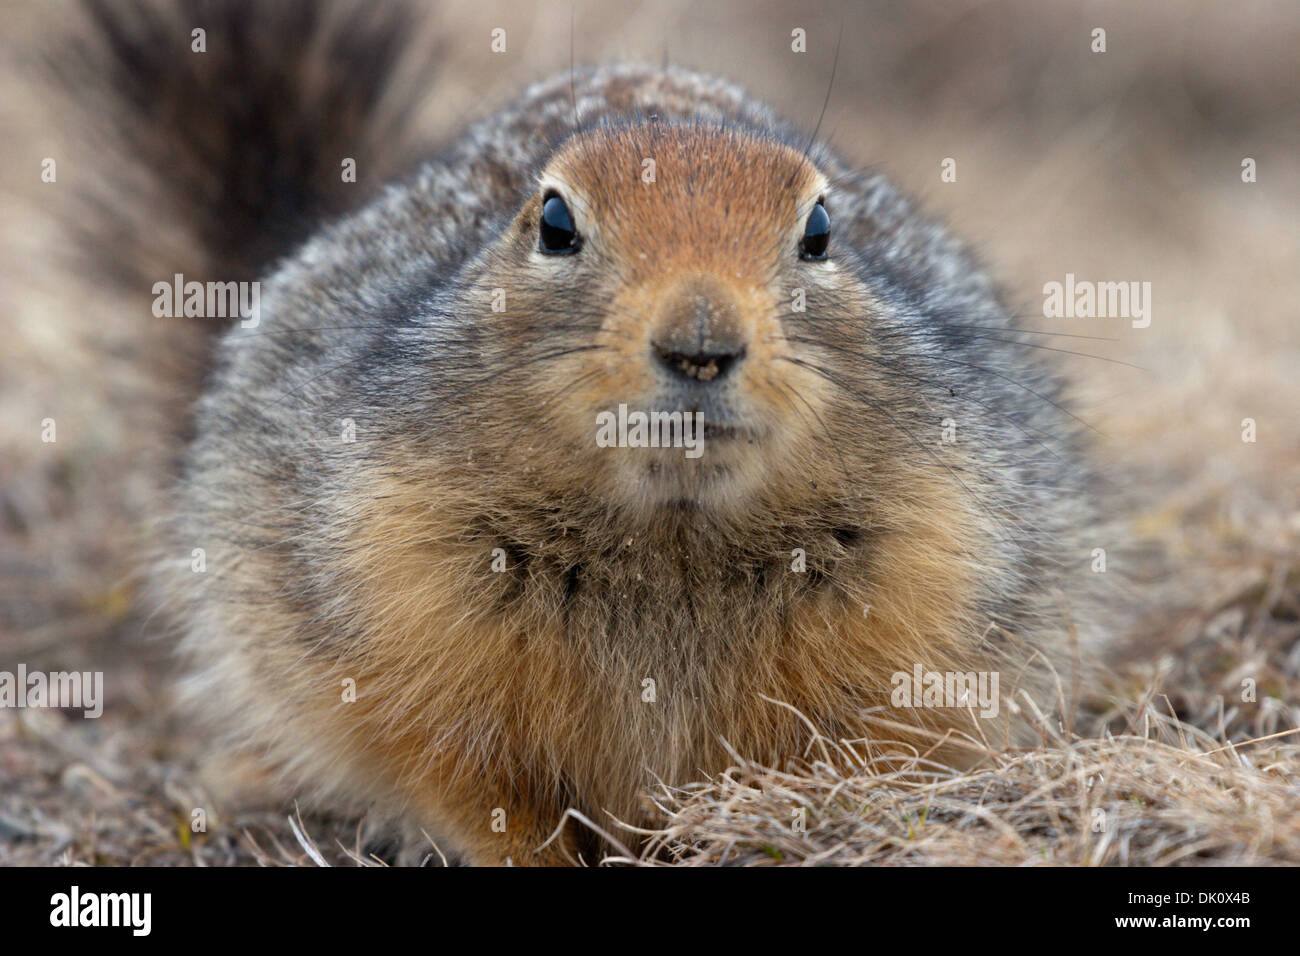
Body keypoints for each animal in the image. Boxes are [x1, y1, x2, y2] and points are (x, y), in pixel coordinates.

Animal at [49, 0, 1111, 865]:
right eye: (555, 221)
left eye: (820, 231)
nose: (700, 344)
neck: (674, 534)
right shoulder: (403, 586)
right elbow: (471, 781)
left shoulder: (923, 571)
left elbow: (867, 742)